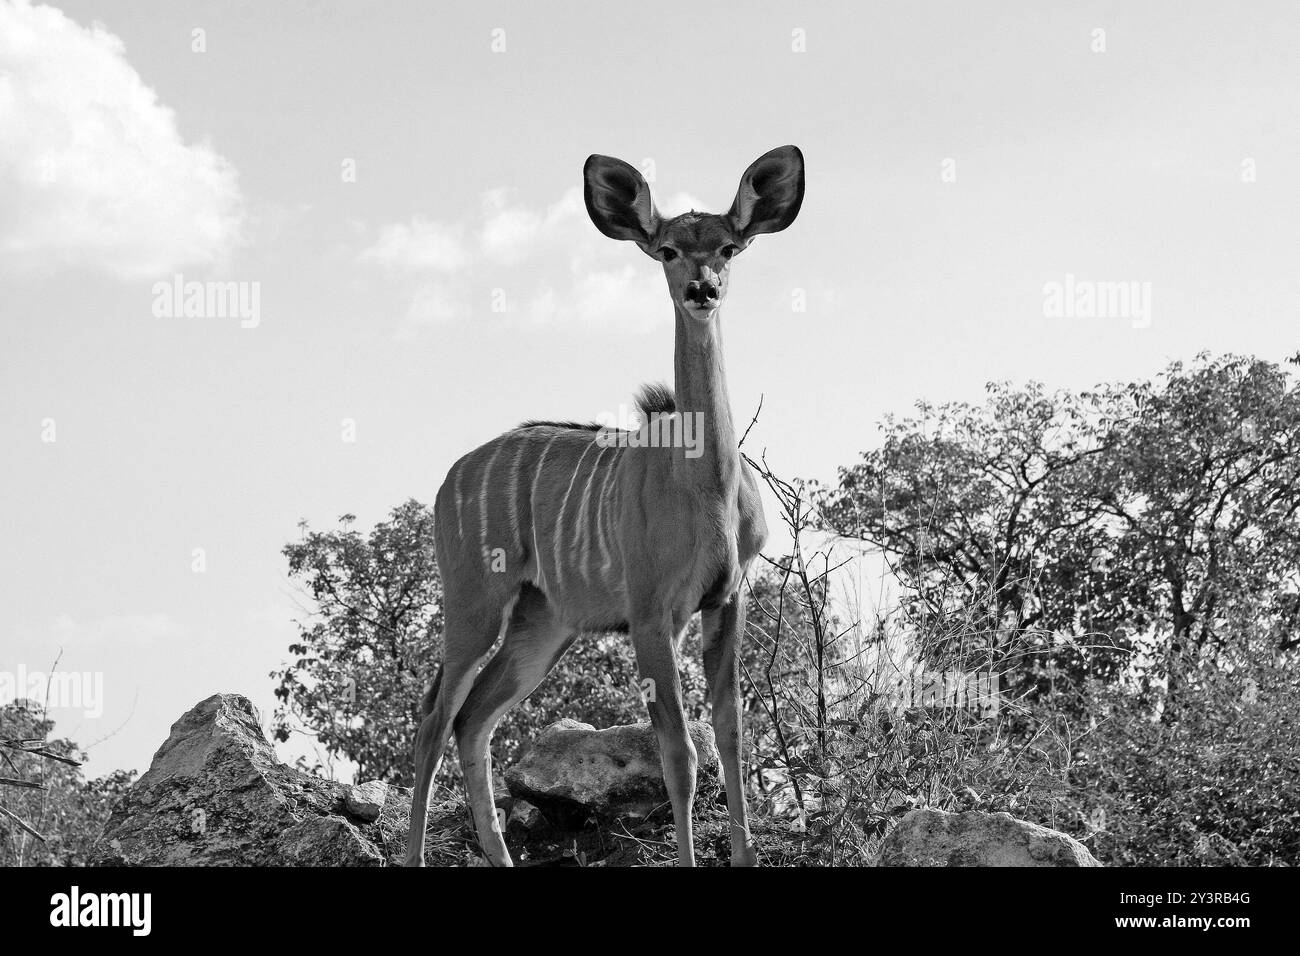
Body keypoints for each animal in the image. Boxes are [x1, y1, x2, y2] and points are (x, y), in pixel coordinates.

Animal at [404, 146, 805, 867]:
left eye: (728, 247)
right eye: (668, 249)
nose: (703, 290)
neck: (706, 488)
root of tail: (451, 477)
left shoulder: (727, 600)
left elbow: (730, 735)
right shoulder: (651, 614)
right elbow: (680, 753)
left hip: (543, 625)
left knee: (473, 719)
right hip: (474, 603)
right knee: (434, 720)